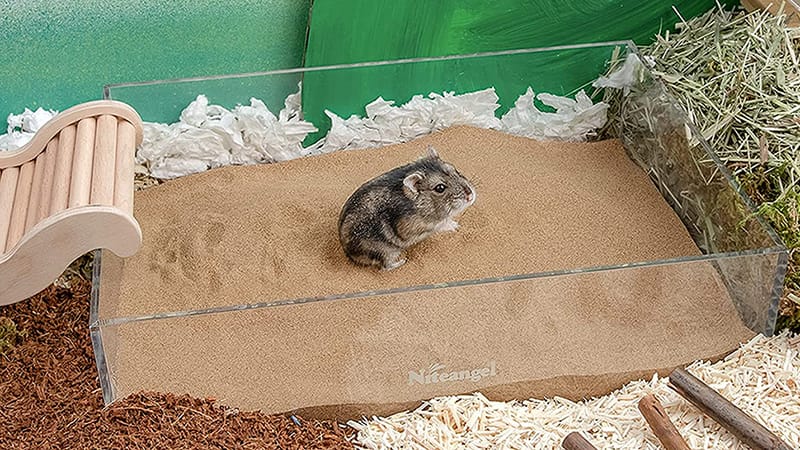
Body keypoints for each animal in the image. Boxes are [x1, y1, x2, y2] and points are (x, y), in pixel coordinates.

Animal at [338, 145, 476, 270]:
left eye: (456, 170)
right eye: (440, 188)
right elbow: (440, 224)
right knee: (385, 266)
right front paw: (455, 226)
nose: (471, 195)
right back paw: (402, 261)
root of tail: (348, 253)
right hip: (386, 252)